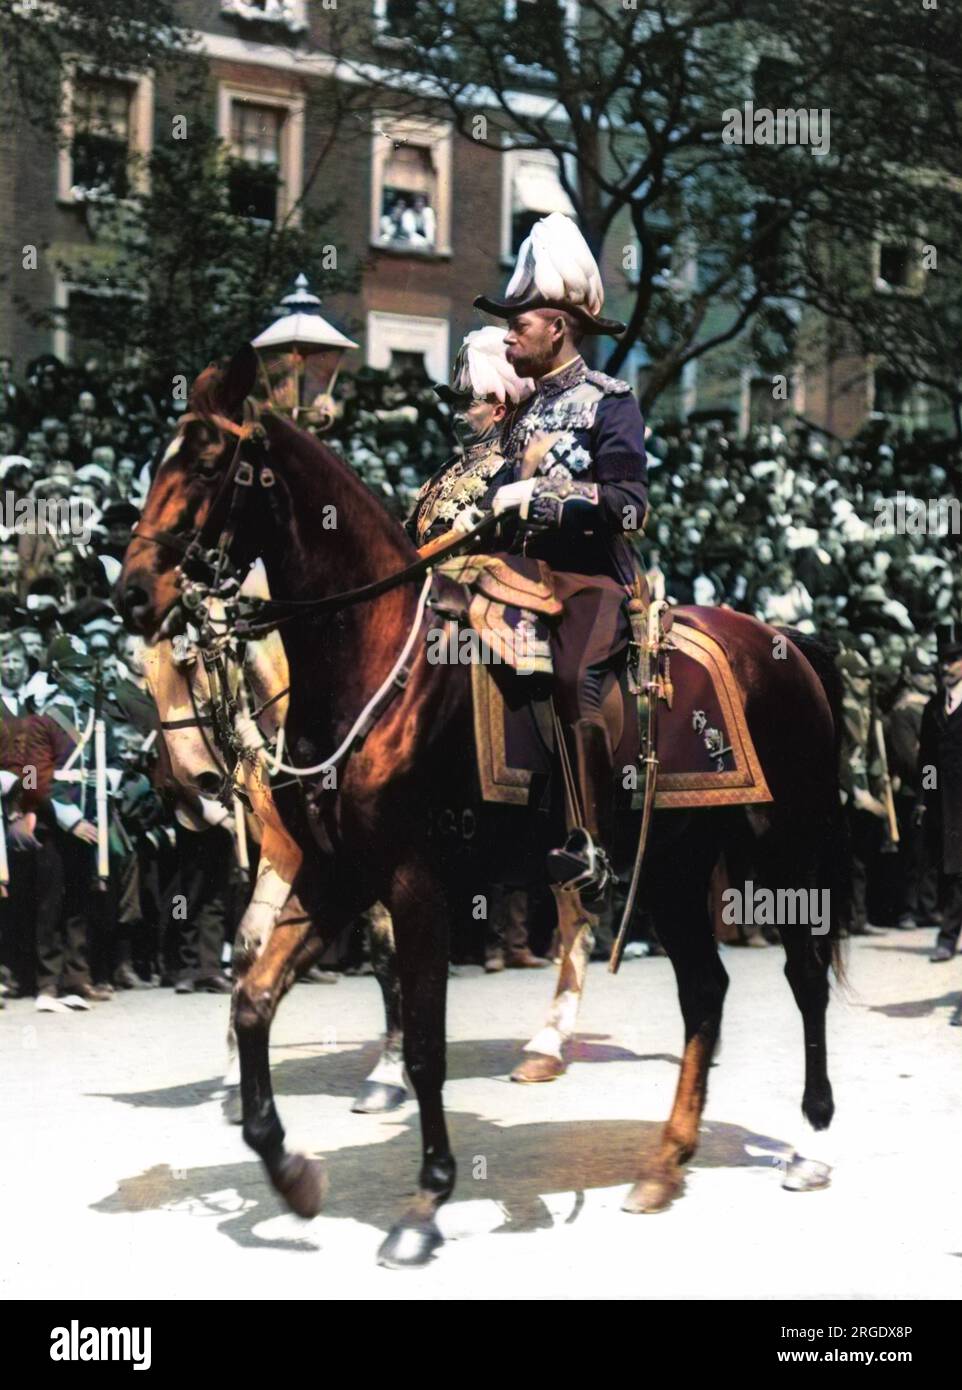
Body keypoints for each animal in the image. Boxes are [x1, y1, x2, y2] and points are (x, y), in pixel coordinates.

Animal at [116, 350, 845, 1273]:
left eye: (209, 463)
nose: (133, 592)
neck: (376, 662)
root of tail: (789, 643)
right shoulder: (331, 875)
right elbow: (253, 997)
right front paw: (289, 1171)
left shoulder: (413, 883)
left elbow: (425, 1047)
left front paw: (425, 1201)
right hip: (670, 863)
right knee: (704, 991)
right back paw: (664, 1161)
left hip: (787, 850)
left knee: (803, 980)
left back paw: (807, 1144)